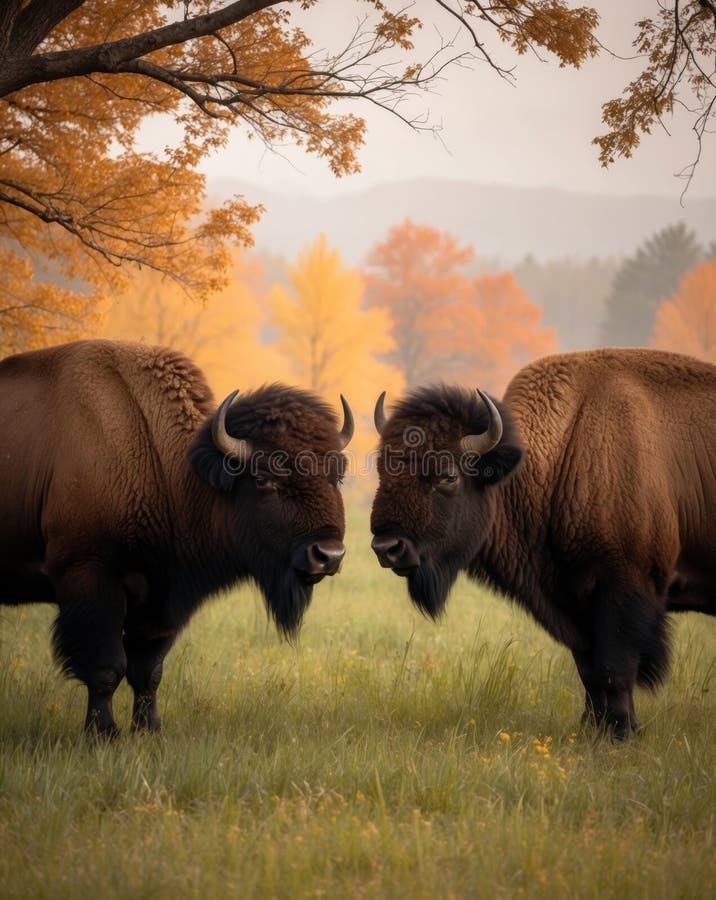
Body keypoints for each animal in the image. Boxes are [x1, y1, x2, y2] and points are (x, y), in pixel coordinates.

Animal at [0, 339, 353, 737]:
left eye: (337, 475)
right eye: (265, 479)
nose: (328, 555)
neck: (165, 469)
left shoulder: (162, 597)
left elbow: (147, 671)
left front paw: (150, 731)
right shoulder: (89, 578)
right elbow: (106, 668)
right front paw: (103, 734)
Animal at [370, 349, 716, 739]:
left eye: (448, 475)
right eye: (383, 469)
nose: (388, 547)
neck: (561, 453)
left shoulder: (625, 588)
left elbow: (615, 670)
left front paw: (622, 734)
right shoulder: (573, 600)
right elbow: (590, 673)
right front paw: (594, 731)